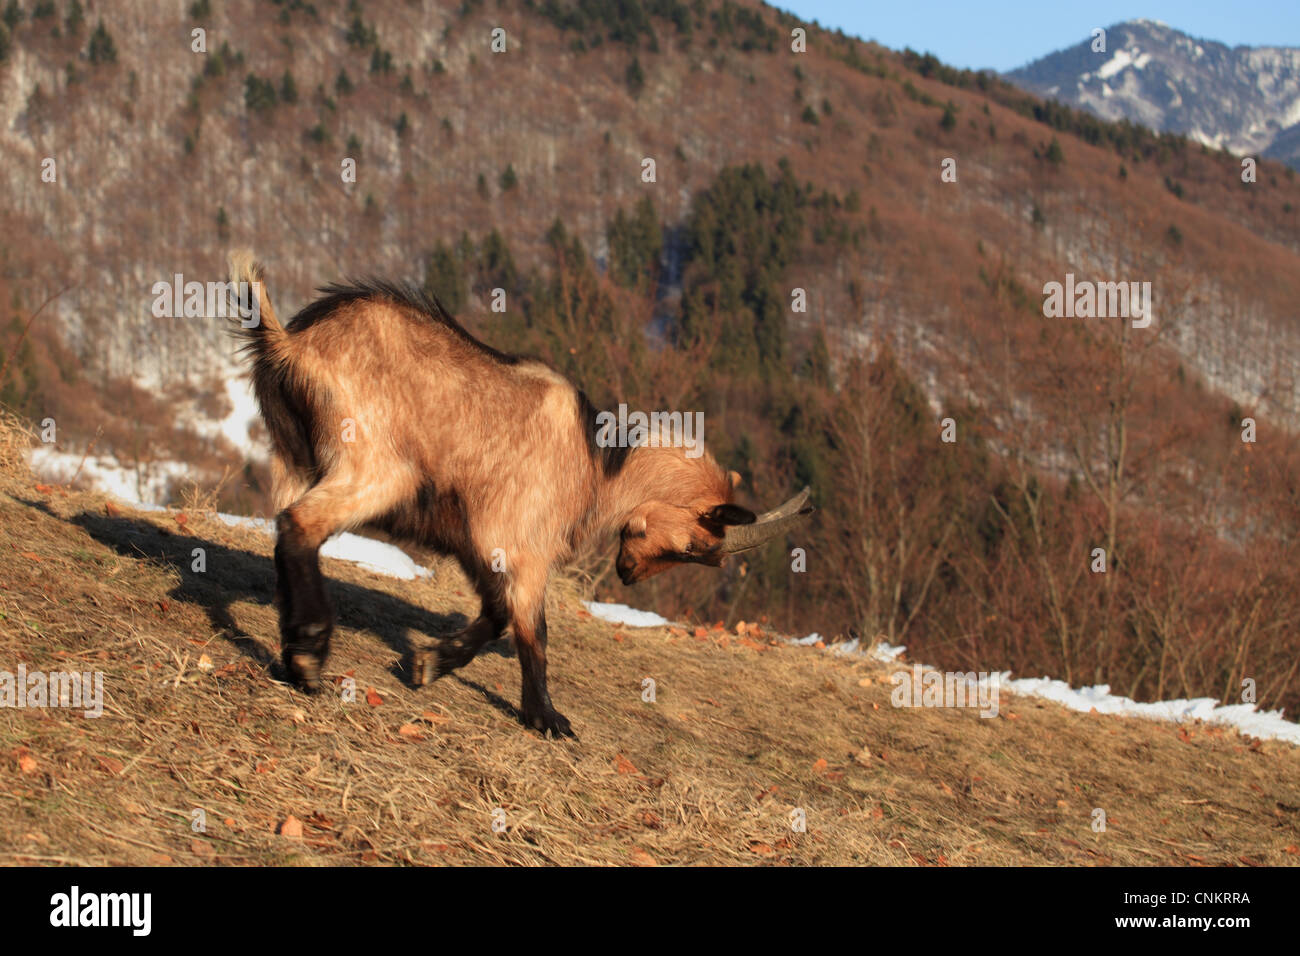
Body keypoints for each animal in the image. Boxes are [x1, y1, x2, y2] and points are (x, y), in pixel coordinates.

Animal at [229, 253, 812, 737]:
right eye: (695, 547)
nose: (628, 574)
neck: (598, 464)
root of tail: (294, 344)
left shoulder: (478, 541)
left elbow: (496, 614)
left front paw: (427, 664)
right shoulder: (525, 545)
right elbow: (534, 629)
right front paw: (546, 717)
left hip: (294, 458)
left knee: (284, 530)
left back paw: (292, 647)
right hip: (375, 467)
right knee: (301, 525)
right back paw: (309, 656)